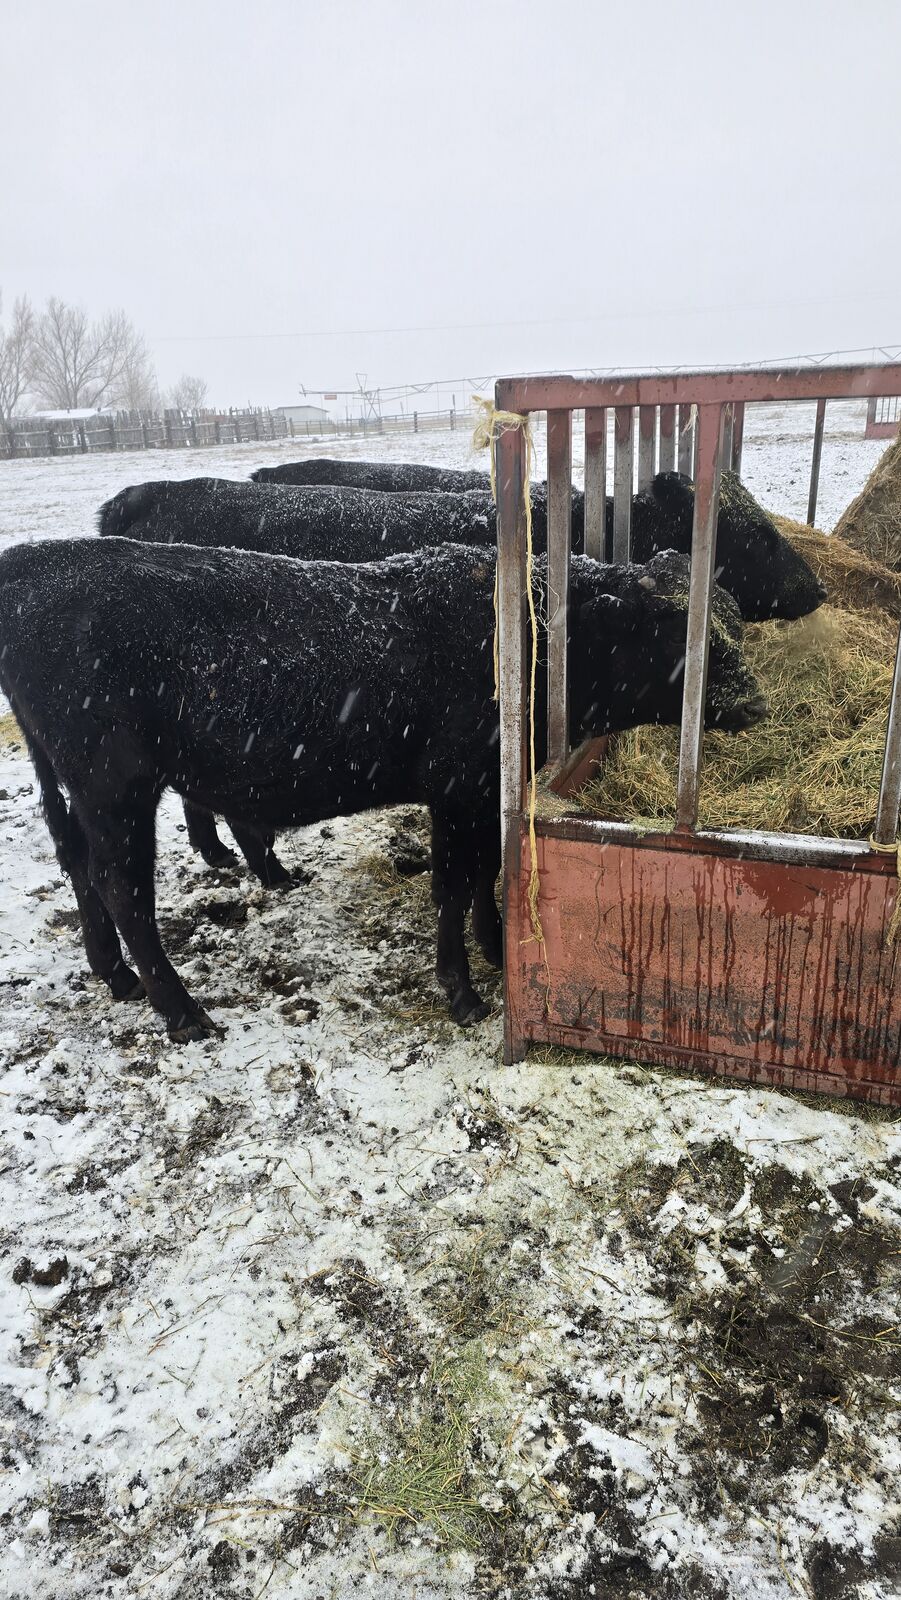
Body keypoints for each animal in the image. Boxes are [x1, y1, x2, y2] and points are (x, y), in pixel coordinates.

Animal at [0, 539, 766, 1039]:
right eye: (673, 627)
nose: (757, 703)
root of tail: (32, 562)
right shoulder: (457, 787)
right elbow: (453, 882)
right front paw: (462, 990)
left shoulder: (481, 792)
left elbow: (485, 871)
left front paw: (494, 946)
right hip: (114, 784)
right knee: (122, 885)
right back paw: (181, 1010)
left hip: (75, 784)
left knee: (79, 866)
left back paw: (114, 973)